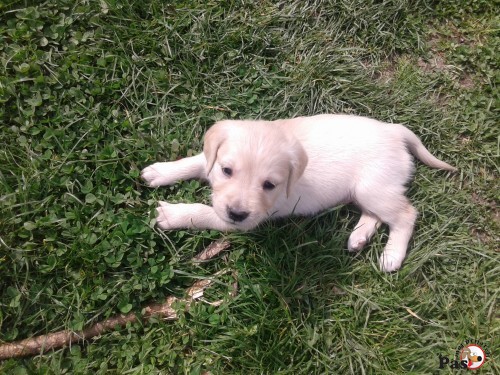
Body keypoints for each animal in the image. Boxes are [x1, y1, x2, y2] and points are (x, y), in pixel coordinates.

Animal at [140, 114, 454, 270]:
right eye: (226, 170)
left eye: (270, 185)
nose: (237, 213)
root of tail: (396, 132)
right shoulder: (211, 161)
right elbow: (195, 161)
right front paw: (161, 171)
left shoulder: (248, 220)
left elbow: (205, 212)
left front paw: (173, 214)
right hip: (366, 190)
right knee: (375, 214)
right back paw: (359, 237)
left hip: (374, 187)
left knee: (405, 215)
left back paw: (391, 256)